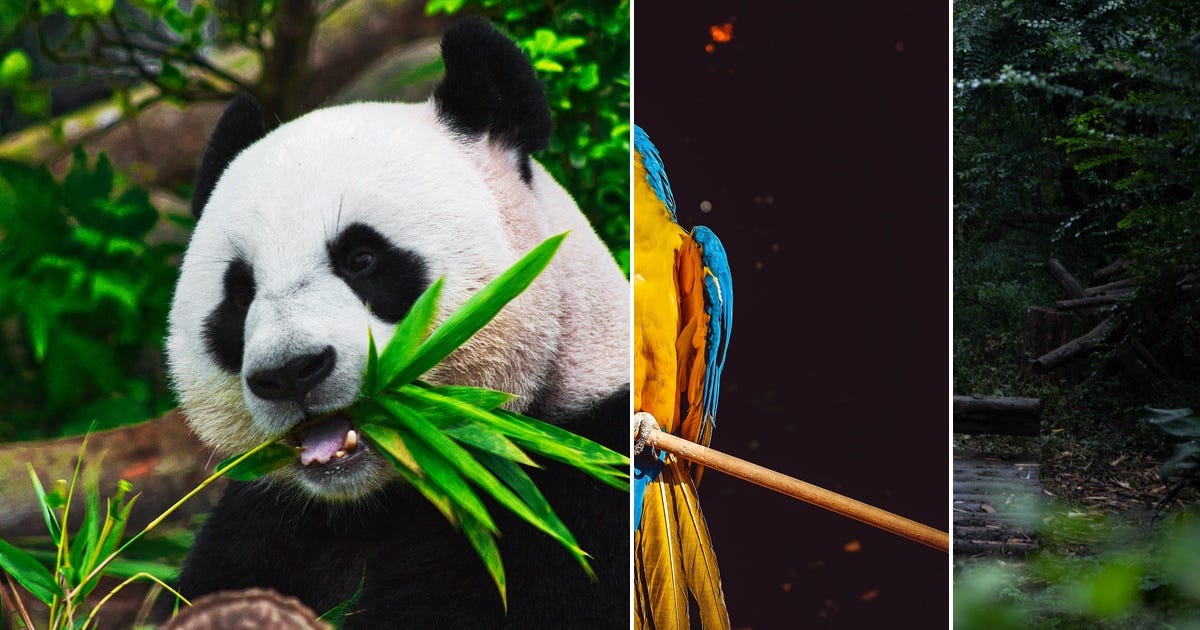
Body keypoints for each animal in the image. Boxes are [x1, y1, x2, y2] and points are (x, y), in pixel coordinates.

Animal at [162, 17, 630, 629]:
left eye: (361, 259)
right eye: (239, 294)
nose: (290, 372)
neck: (376, 497)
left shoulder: (577, 488)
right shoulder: (264, 522)